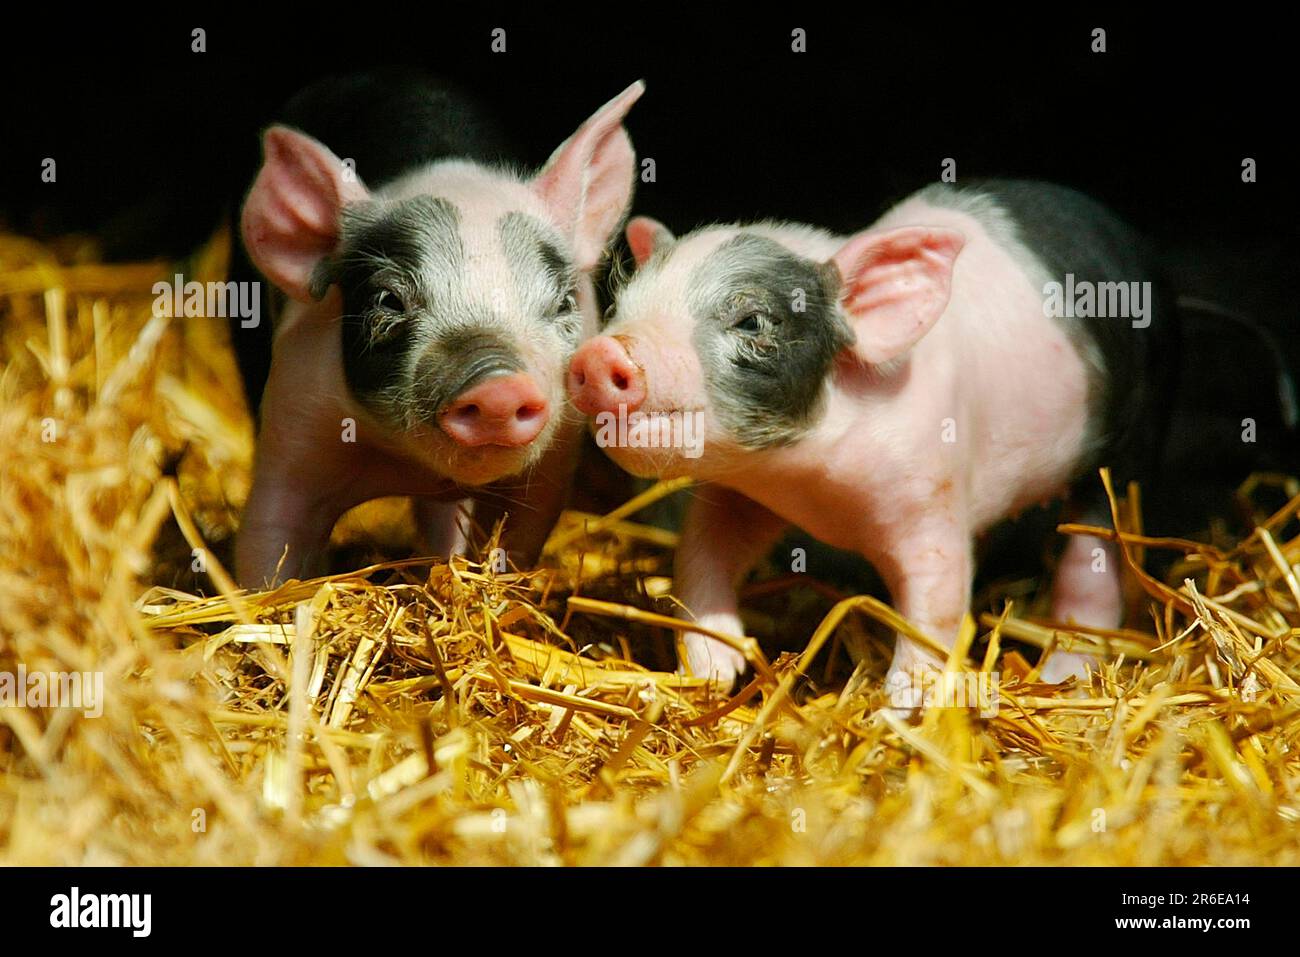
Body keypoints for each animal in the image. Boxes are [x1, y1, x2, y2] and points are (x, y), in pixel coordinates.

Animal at [231, 71, 643, 585]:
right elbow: (269, 540)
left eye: (563, 302)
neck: (411, 467)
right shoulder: (295, 419)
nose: (498, 384)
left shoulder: (553, 463)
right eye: (390, 300)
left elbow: (521, 533)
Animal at [568, 181, 1176, 690]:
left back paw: (1064, 674)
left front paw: (901, 709)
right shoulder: (740, 490)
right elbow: (701, 553)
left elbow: (938, 602)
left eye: (752, 322)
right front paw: (715, 671)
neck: (821, 494)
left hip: (1133, 439)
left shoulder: (932, 491)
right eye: (622, 304)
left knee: (1093, 553)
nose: (598, 355)